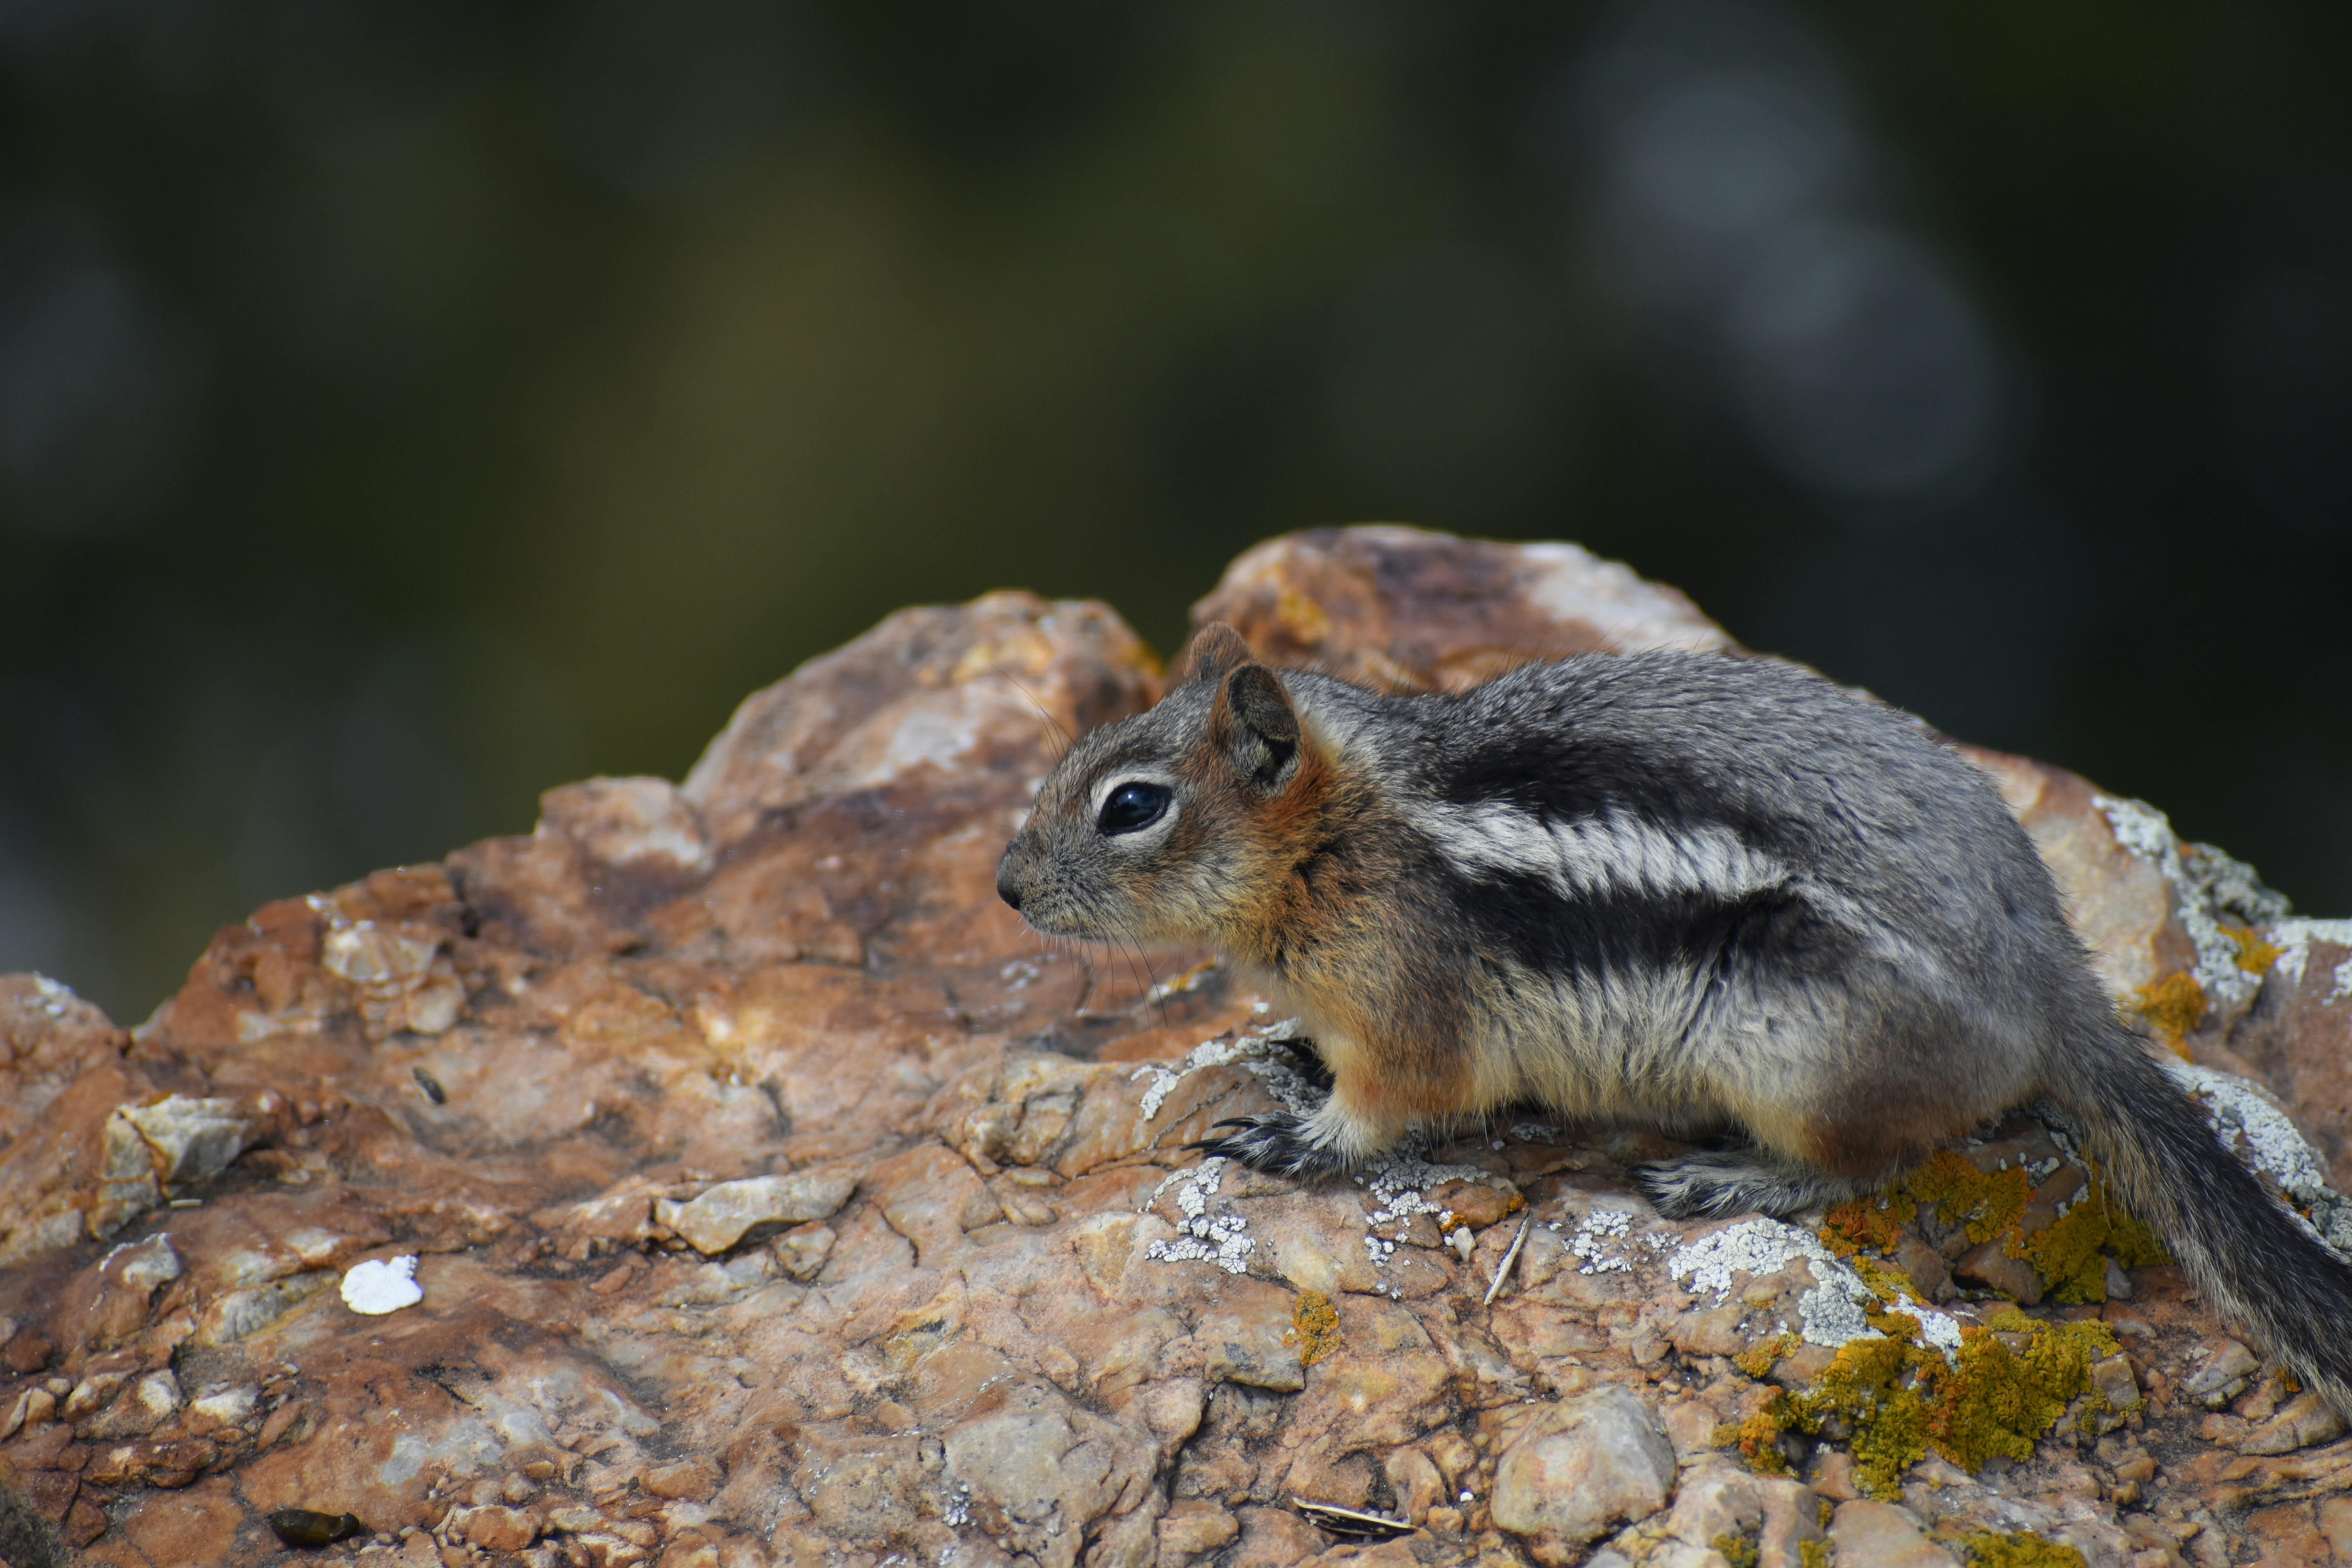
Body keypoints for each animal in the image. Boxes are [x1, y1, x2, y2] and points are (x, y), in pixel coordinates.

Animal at [996, 621, 2352, 1415]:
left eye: (1130, 806)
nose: (1004, 887)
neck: (1344, 832)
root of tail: (2046, 975)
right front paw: (1280, 1052)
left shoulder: (1408, 1006)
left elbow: (1390, 1106)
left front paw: (1299, 1137)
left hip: (1798, 1047)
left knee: (1868, 1163)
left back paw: (1729, 1177)